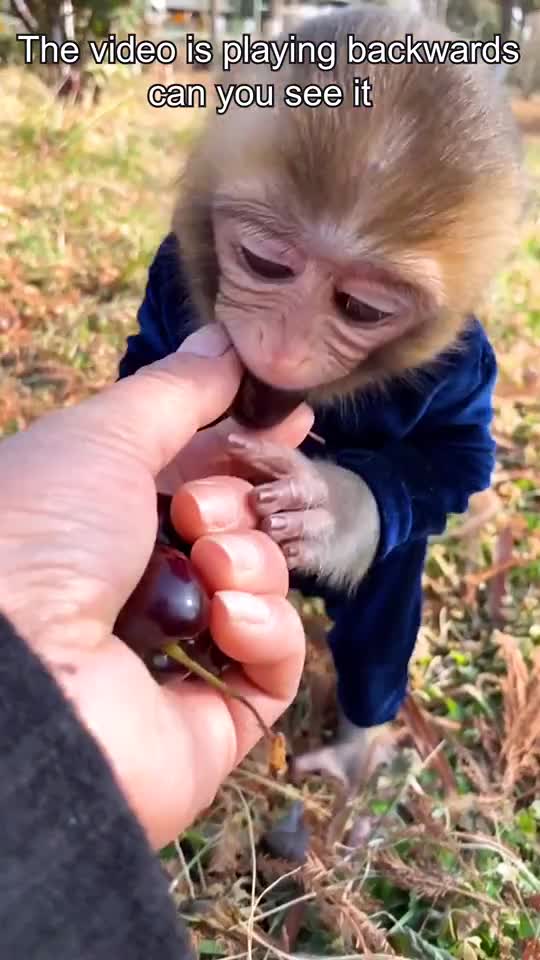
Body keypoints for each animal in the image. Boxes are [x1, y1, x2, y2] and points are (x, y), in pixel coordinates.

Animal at [118, 4, 523, 786]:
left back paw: (353, 746)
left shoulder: (464, 360)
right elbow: (140, 367)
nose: (284, 351)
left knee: (387, 593)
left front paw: (331, 507)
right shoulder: (167, 277)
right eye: (265, 262)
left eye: (362, 309)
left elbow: (459, 455)